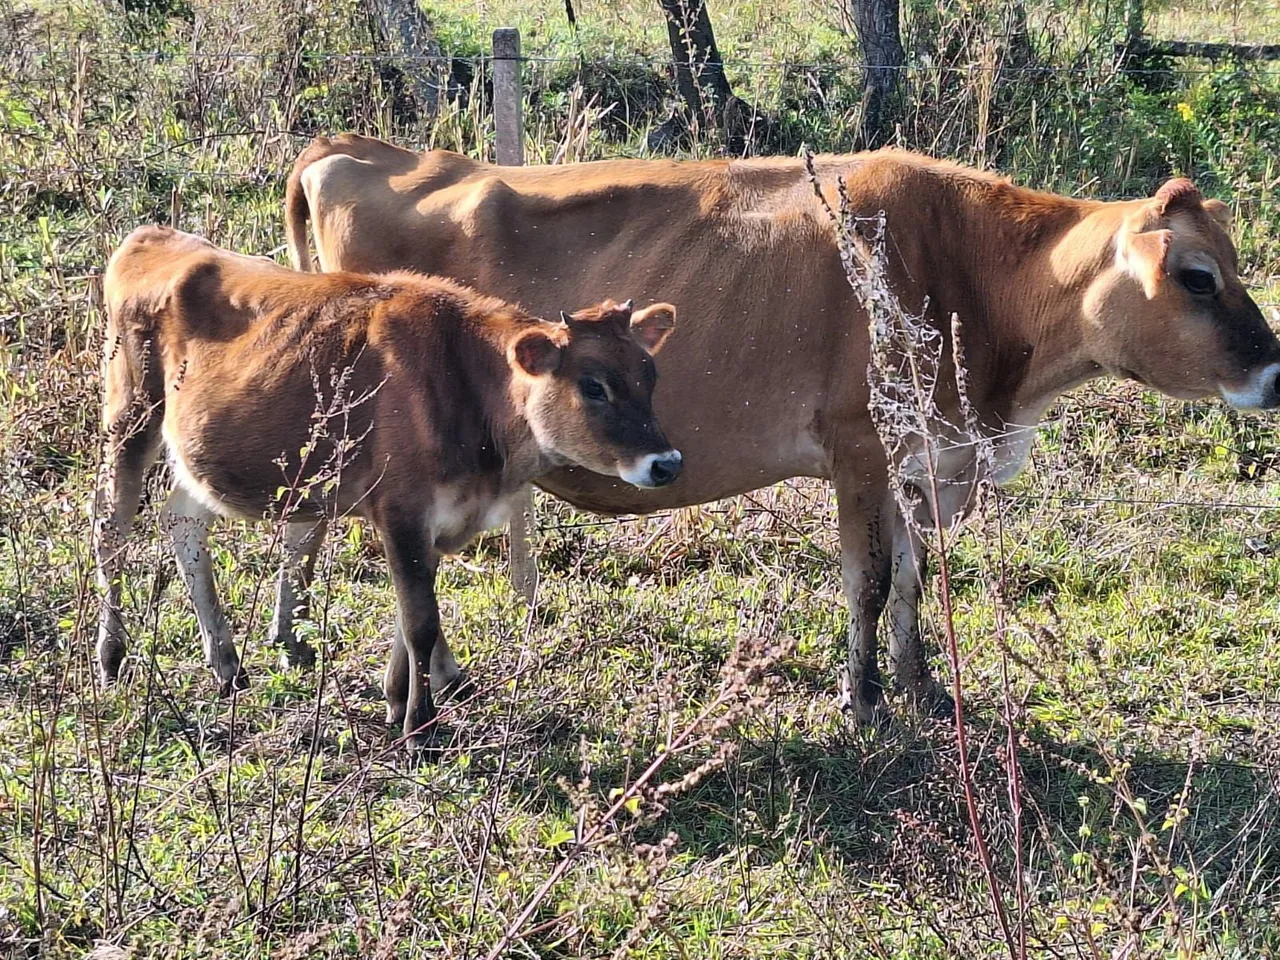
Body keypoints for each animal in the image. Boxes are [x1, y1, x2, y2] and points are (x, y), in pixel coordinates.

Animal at [93, 225, 680, 746]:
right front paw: (420, 725)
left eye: (650, 375)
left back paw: (227, 663)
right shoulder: (401, 509)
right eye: (592, 386)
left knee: (183, 519)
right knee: (111, 530)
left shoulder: (434, 517)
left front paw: (403, 698)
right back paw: (111, 656)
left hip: (195, 456)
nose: (666, 463)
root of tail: (154, 237)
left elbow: (410, 613)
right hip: (131, 416)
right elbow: (420, 618)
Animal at [282, 134, 1280, 726]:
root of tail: (349, 148)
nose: (1275, 372)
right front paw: (862, 701)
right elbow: (869, 579)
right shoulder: (859, 445)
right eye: (1196, 276)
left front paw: (918, 684)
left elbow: (913, 577)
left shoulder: (921, 456)